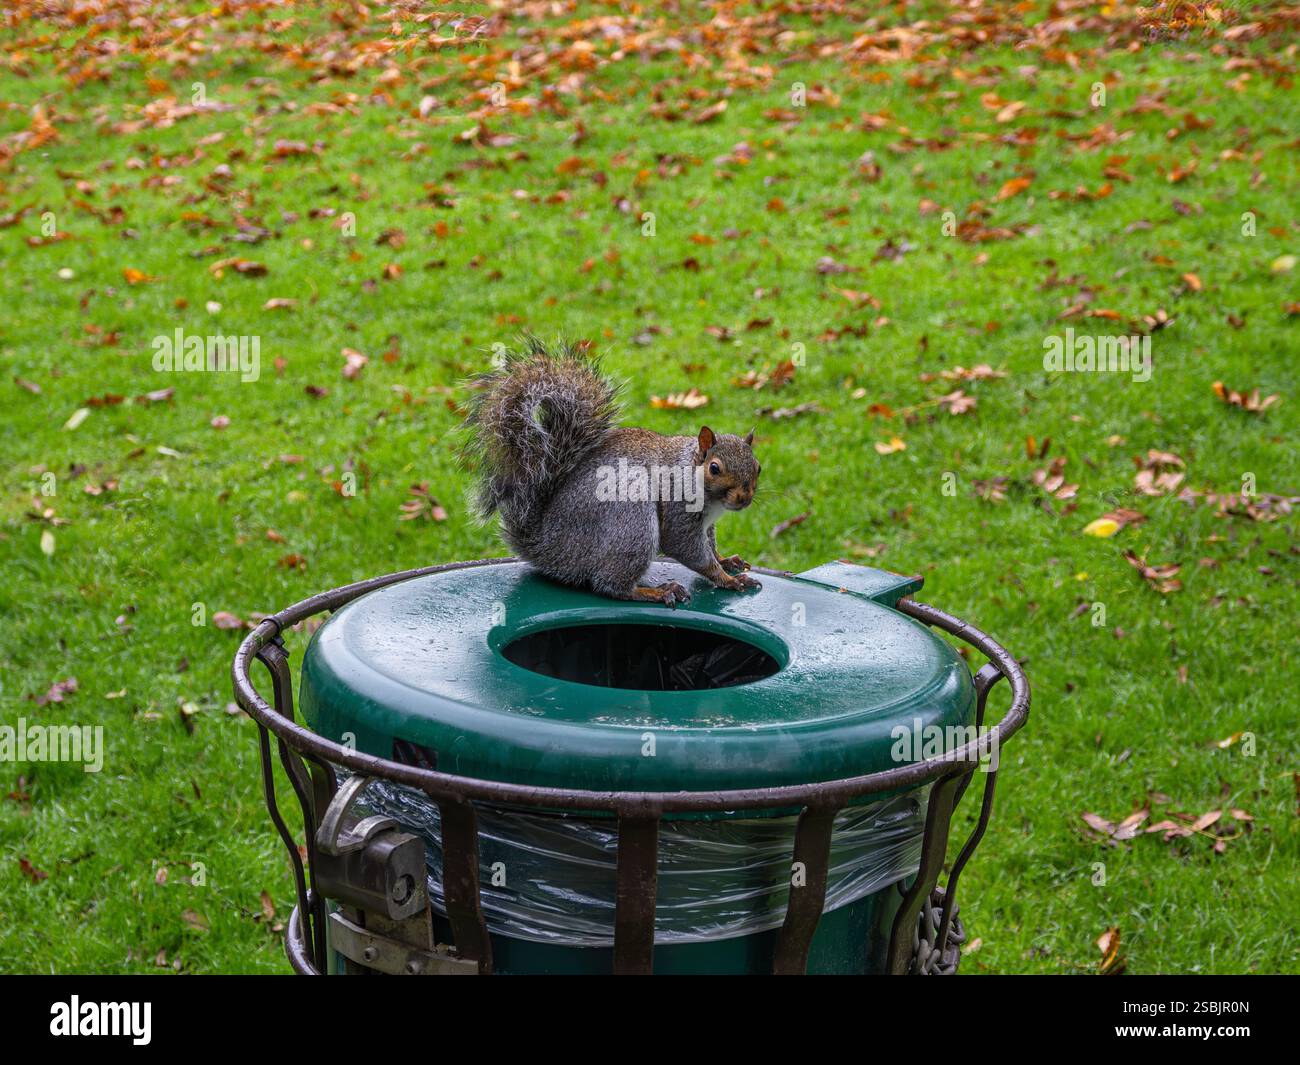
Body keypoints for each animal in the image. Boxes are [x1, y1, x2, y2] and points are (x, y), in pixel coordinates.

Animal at [463, 338, 762, 607]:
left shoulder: (707, 525)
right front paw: (727, 579)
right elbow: (688, 549)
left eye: (758, 467)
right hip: (629, 519)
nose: (744, 499)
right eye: (715, 468)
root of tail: (546, 548)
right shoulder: (679, 510)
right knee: (610, 585)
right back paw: (656, 592)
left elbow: (710, 546)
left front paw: (727, 561)